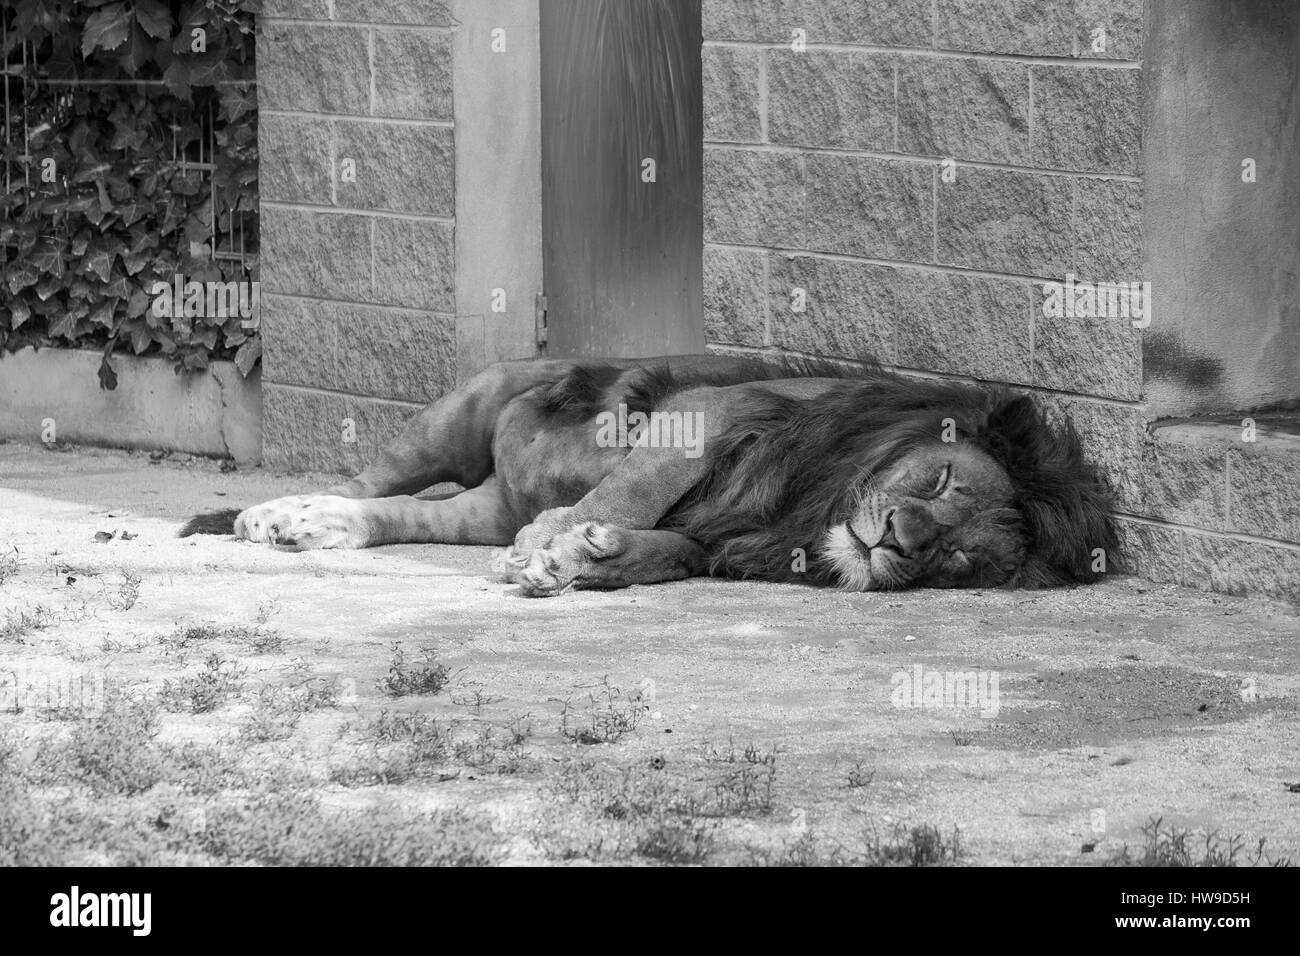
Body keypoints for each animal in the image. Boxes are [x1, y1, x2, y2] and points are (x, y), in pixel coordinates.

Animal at [185, 355, 1117, 597]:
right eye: (939, 484)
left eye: (953, 561)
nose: (895, 540)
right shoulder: (715, 408)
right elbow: (638, 487)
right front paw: (556, 541)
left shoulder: (731, 538)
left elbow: (671, 547)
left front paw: (585, 559)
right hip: (464, 410)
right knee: (368, 482)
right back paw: (286, 515)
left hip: (475, 509)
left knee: (405, 517)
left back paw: (320, 528)